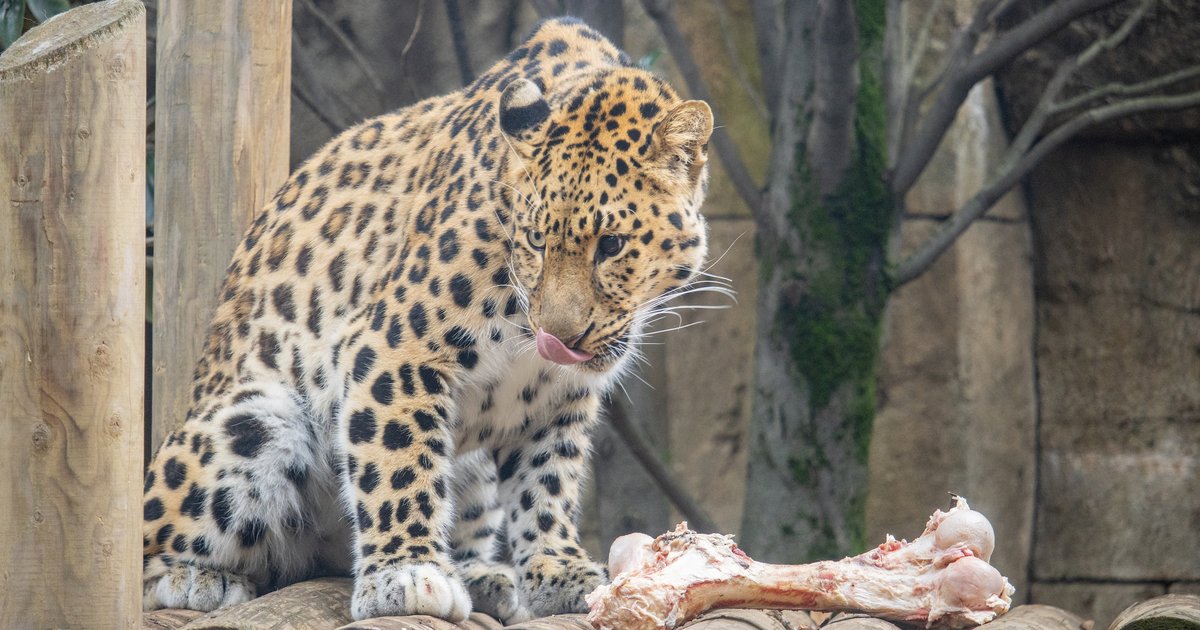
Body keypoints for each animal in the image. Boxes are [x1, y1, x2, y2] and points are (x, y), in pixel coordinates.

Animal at [141, 17, 714, 623]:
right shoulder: (393, 349)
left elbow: (547, 481)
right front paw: (406, 574)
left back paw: (484, 576)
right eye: (536, 240)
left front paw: (558, 570)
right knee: (148, 545)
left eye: (612, 244)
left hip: (473, 468)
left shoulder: (557, 398)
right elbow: (397, 460)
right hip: (252, 421)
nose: (558, 339)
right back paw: (196, 578)